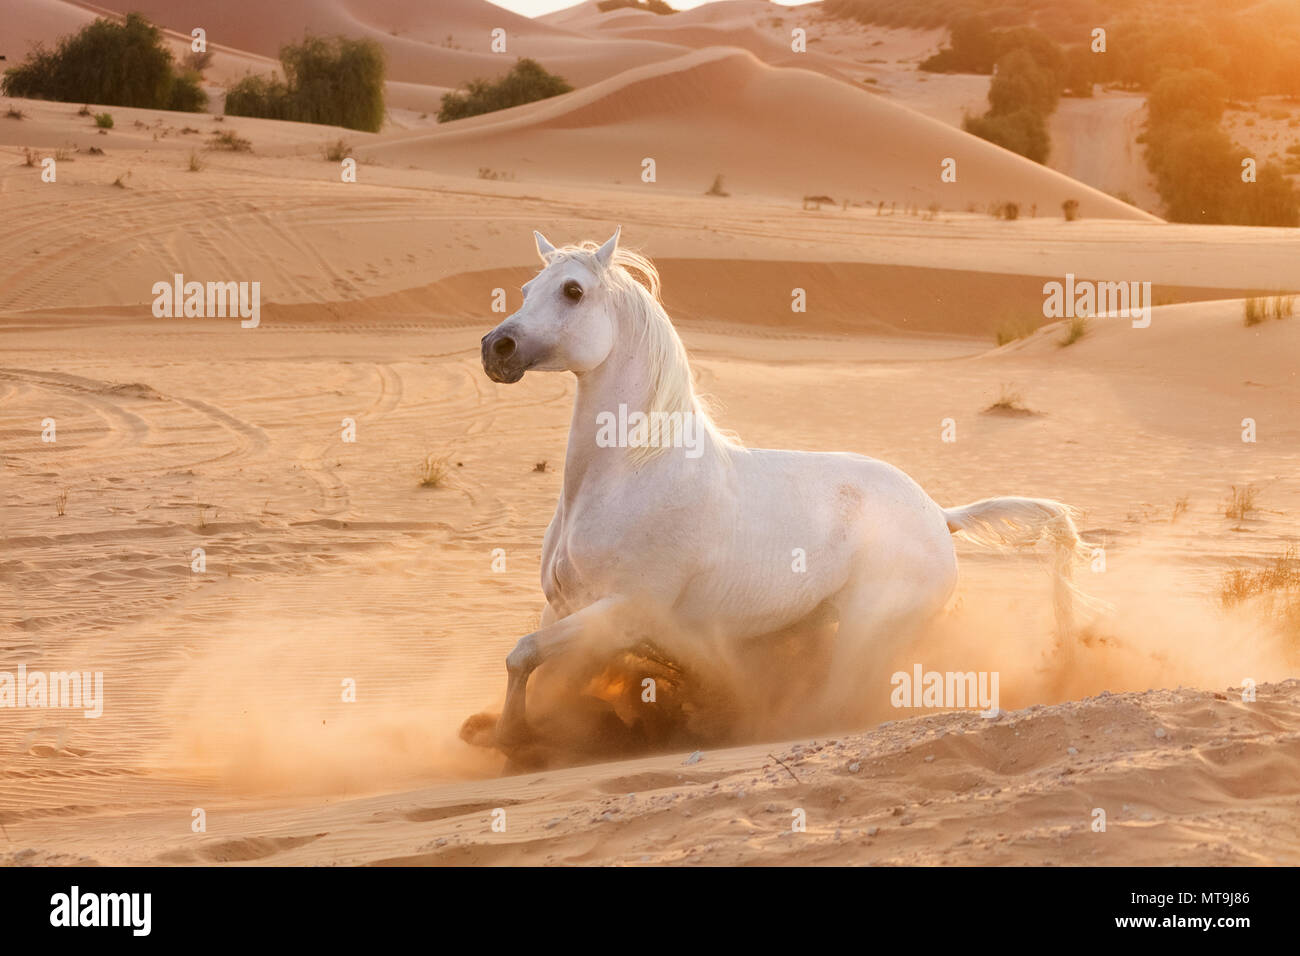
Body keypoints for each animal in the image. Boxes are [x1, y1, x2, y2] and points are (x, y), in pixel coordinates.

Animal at [473, 227, 1092, 750]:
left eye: (573, 291)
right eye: (526, 288)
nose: (495, 349)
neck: (629, 474)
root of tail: (940, 515)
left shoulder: (623, 614)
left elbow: (523, 656)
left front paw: (512, 740)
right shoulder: (562, 607)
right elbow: (533, 665)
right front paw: (508, 731)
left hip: (866, 635)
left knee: (837, 704)